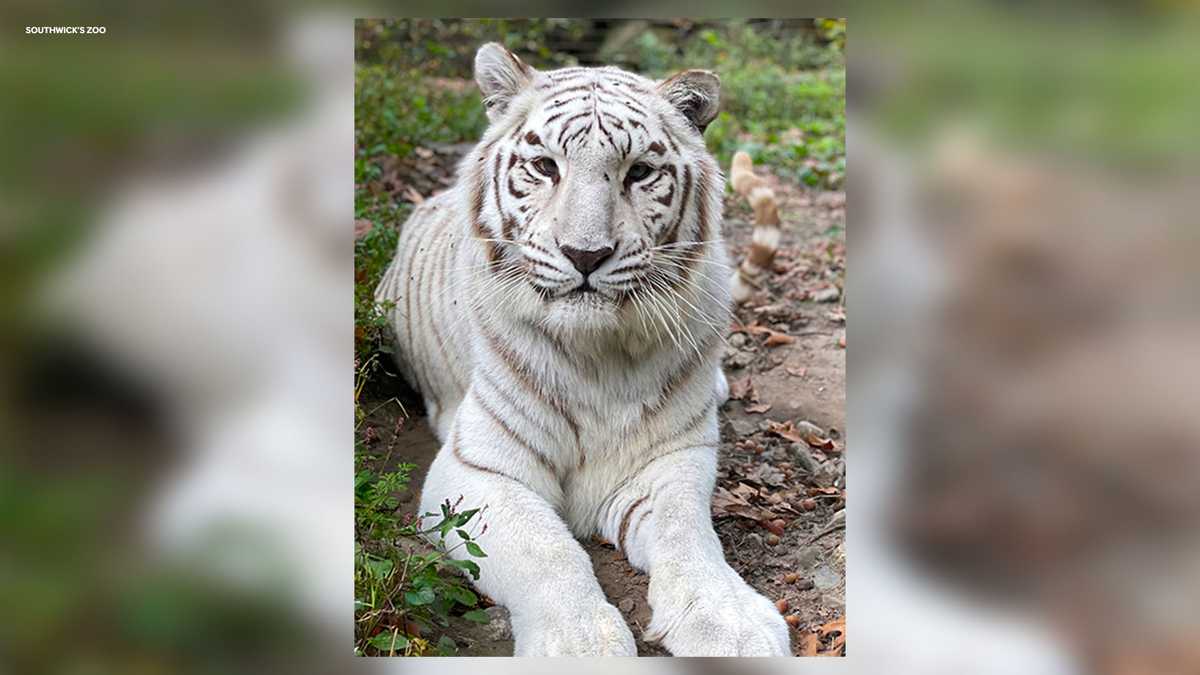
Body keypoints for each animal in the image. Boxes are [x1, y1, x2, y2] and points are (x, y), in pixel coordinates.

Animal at [375, 43, 790, 656]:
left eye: (638, 172)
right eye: (546, 166)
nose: (586, 254)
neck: (599, 357)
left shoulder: (670, 461)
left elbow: (688, 537)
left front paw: (733, 627)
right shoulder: (478, 471)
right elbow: (547, 553)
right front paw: (579, 646)